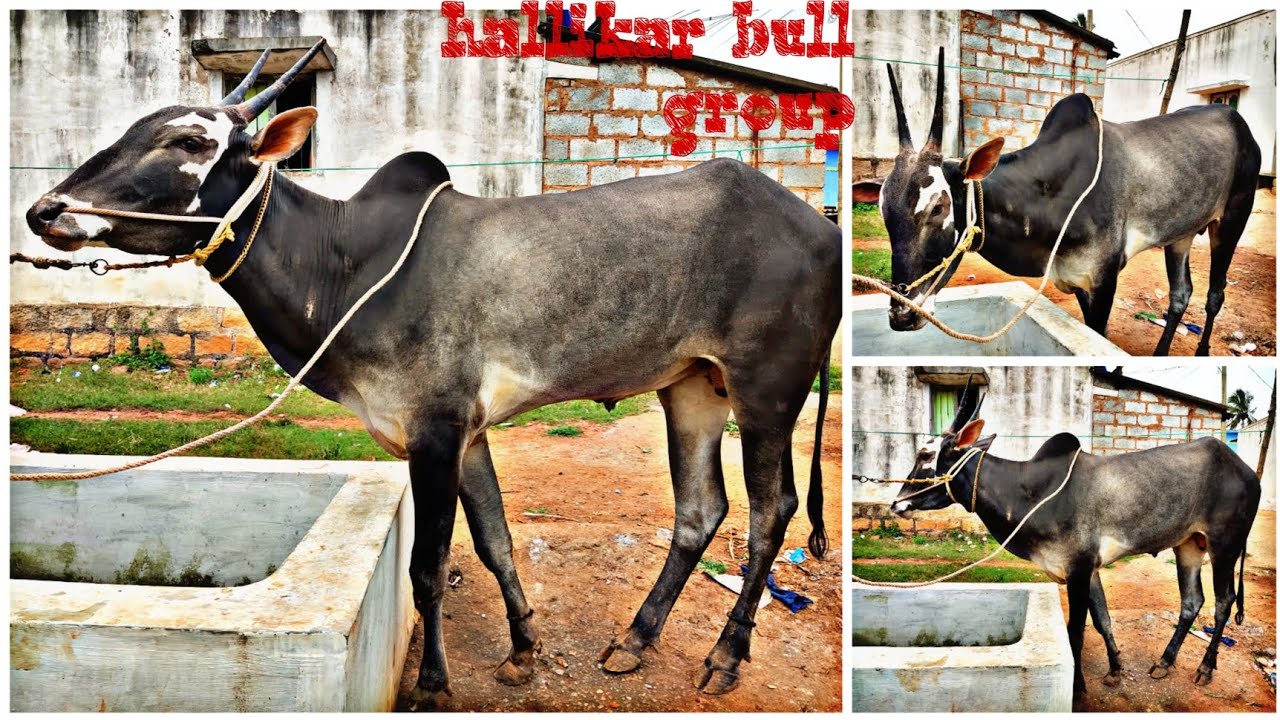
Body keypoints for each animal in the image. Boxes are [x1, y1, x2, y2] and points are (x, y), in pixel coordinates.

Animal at [23, 41, 840, 707]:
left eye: (192, 141)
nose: (46, 211)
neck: (345, 266)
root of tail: (820, 225)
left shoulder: (436, 430)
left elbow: (429, 565)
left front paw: (433, 683)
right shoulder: (467, 435)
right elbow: (495, 541)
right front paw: (523, 648)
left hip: (767, 389)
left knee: (771, 512)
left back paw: (725, 656)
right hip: (692, 387)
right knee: (700, 510)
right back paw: (635, 641)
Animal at [852, 48, 1261, 356]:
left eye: (938, 208)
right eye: (884, 212)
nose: (902, 315)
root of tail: (1239, 123)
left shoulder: (1103, 282)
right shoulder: (1078, 283)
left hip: (1232, 221)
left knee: (1214, 294)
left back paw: (1203, 350)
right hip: (1180, 235)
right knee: (1180, 294)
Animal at [888, 380, 1261, 705]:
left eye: (925, 456)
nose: (897, 504)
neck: (1030, 493)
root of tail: (1245, 470)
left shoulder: (1078, 569)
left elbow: (1076, 633)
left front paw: (1078, 688)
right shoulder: (1088, 570)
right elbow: (1102, 619)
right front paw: (1115, 669)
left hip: (1225, 545)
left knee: (1223, 602)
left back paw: (1205, 668)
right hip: (1188, 544)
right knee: (1191, 602)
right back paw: (1165, 662)